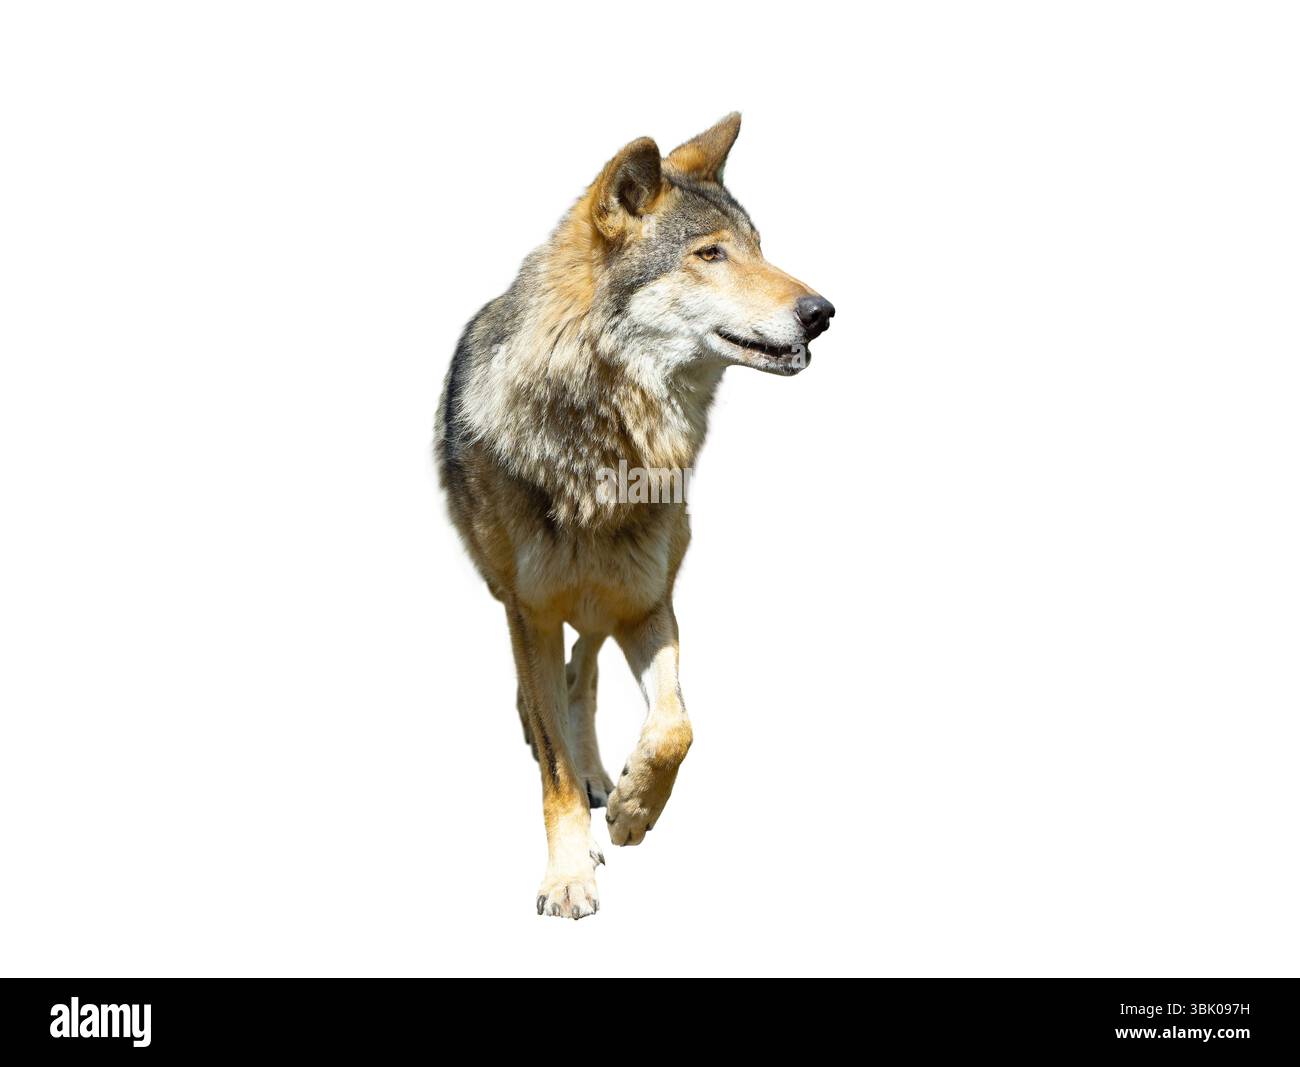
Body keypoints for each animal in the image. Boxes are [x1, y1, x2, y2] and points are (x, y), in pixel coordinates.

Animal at [435, 114, 834, 918]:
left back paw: (601, 777)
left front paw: (630, 810)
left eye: (759, 248)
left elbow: (676, 726)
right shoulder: (528, 609)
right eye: (709, 255)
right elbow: (553, 762)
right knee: (547, 695)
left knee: (582, 678)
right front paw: (567, 873)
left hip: (606, 599)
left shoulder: (649, 602)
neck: (608, 446)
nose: (822, 313)